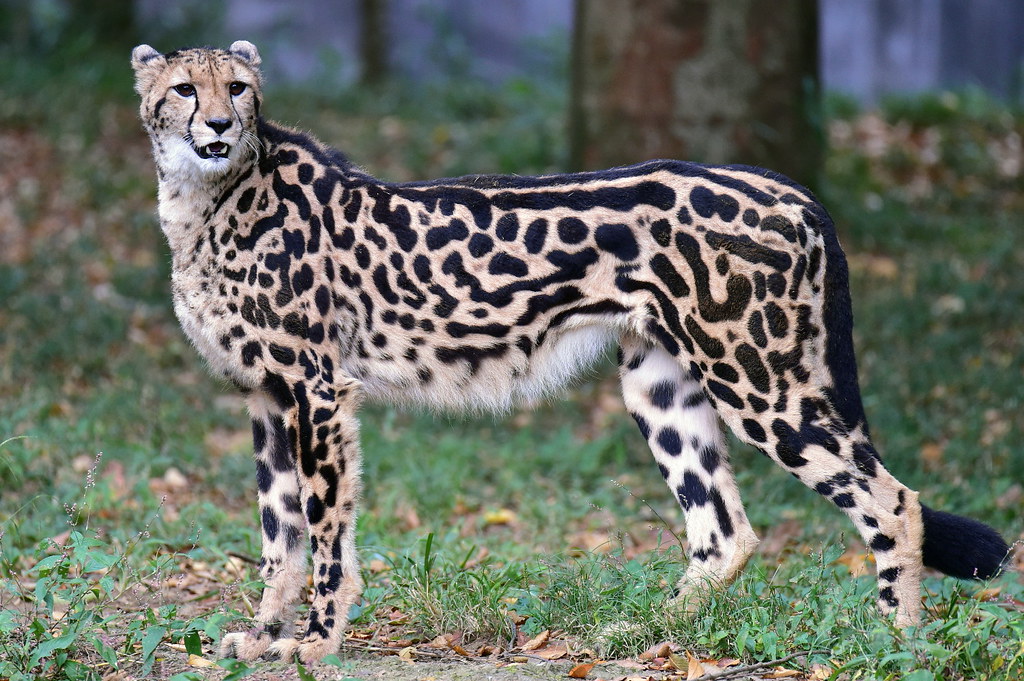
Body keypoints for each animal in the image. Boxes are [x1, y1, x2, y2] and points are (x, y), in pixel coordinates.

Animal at [131, 41, 1008, 663]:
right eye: (185, 90)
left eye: (237, 88)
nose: (218, 128)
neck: (210, 197)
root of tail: (785, 186)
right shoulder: (266, 393)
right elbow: (278, 530)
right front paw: (262, 636)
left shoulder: (315, 388)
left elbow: (324, 533)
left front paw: (314, 642)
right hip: (661, 384)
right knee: (724, 529)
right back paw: (639, 633)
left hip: (763, 384)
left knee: (892, 500)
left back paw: (893, 642)